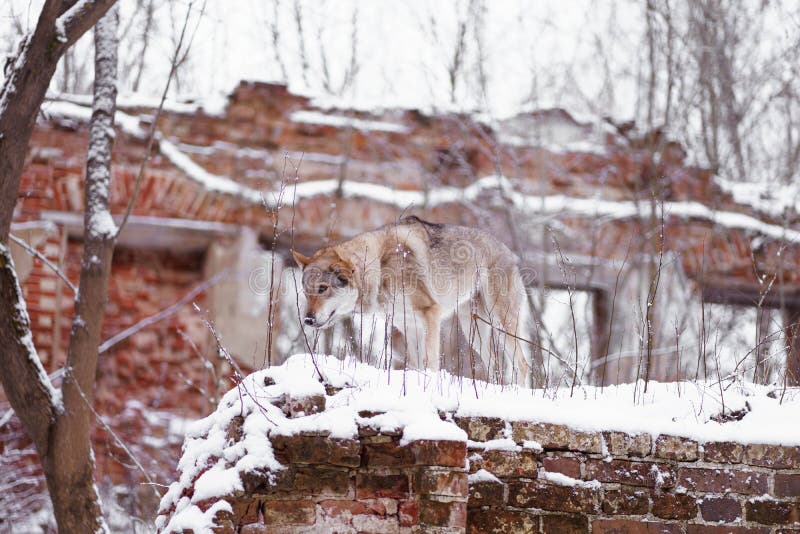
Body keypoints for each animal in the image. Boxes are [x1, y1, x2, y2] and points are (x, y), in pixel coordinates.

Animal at [292, 216, 536, 386]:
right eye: (306, 292)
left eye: (323, 289)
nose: (308, 320)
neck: (379, 267)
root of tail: (510, 252)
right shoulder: (409, 326)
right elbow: (418, 366)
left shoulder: (430, 314)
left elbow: (431, 363)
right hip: (473, 331)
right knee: (494, 364)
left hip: (500, 323)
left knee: (522, 365)